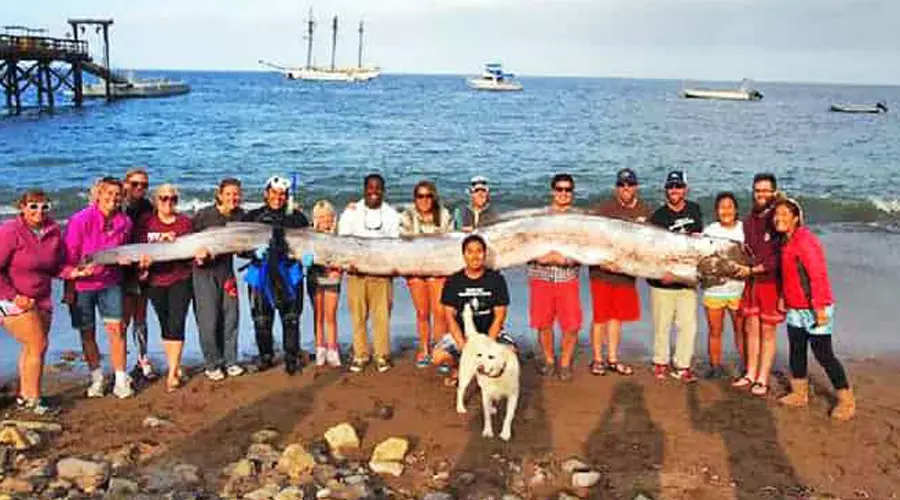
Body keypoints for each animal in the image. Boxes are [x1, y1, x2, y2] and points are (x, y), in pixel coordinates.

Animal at [458, 304, 520, 442]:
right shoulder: (485, 395)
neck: (498, 376)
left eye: (491, 357)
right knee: (460, 390)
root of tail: (476, 335)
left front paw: (505, 433)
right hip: (466, 375)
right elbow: (486, 417)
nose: (480, 368)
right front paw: (487, 431)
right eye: (479, 355)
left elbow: (508, 416)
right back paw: (460, 407)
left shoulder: (513, 396)